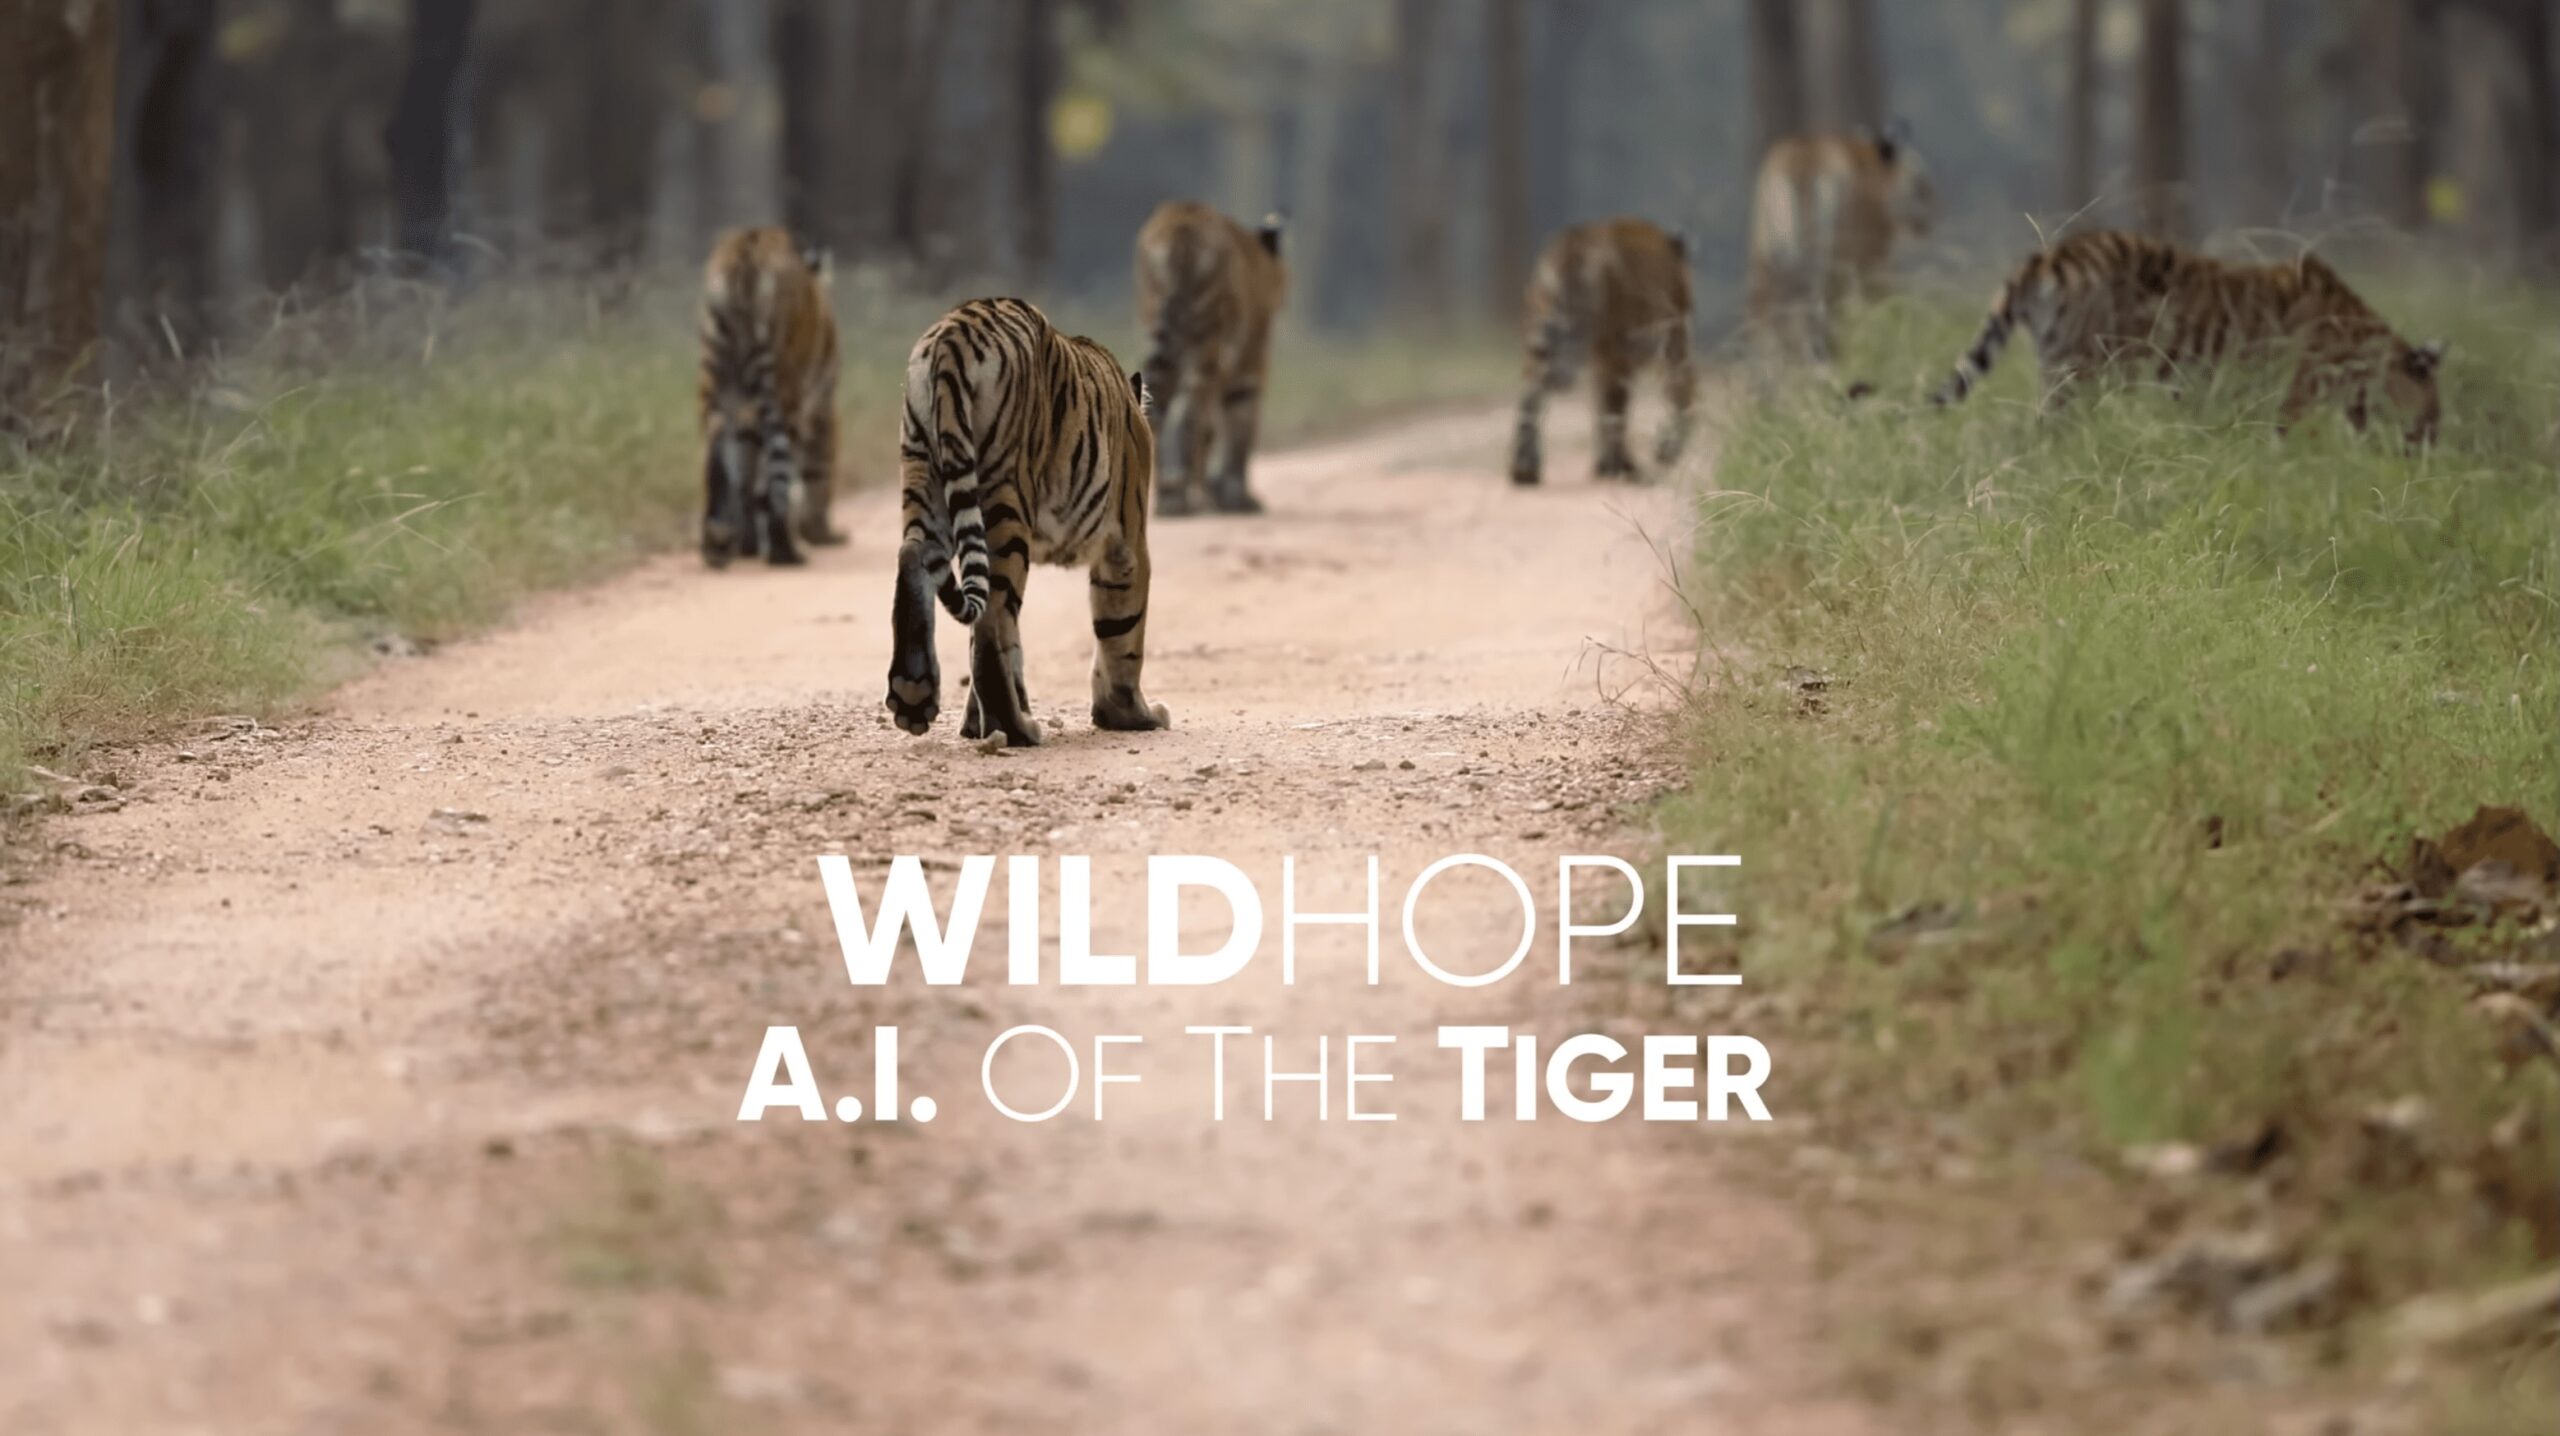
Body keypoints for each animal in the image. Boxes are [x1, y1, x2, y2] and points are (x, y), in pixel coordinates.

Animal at [697, 226, 846, 567]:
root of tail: (746, 245)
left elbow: (746, 478)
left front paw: (745, 543)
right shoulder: (821, 406)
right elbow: (818, 468)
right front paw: (820, 533)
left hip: (716, 383)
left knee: (716, 454)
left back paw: (715, 544)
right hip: (784, 396)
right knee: (780, 472)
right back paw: (785, 551)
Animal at [885, 298, 1169, 749]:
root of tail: (954, 332)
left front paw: (973, 725)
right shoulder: (1127, 542)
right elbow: (1123, 633)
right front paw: (1131, 715)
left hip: (923, 470)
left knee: (916, 554)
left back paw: (914, 693)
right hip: (1006, 502)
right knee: (992, 619)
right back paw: (1016, 728)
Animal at [1134, 201, 1287, 516]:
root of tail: (1182, 225)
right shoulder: (1248, 368)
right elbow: (1237, 433)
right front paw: (1237, 498)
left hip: (1161, 337)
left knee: (1158, 411)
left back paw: (1169, 497)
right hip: (1208, 347)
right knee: (1191, 418)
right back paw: (1183, 496)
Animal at [1509, 216, 1697, 486]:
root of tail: (1575, 242)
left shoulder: (1602, 361)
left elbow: (1598, 406)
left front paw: (1603, 465)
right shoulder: (1673, 340)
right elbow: (1683, 396)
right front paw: (1664, 451)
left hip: (1542, 339)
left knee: (1531, 396)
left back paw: (1524, 470)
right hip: (1616, 350)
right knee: (1615, 410)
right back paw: (1623, 467)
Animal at [1745, 122, 1935, 366]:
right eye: (1919, 182)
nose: (1935, 212)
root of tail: (1801, 159)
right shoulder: (1870, 255)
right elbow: (1881, 299)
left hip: (1764, 260)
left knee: (1765, 317)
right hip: (1827, 262)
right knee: (1816, 316)